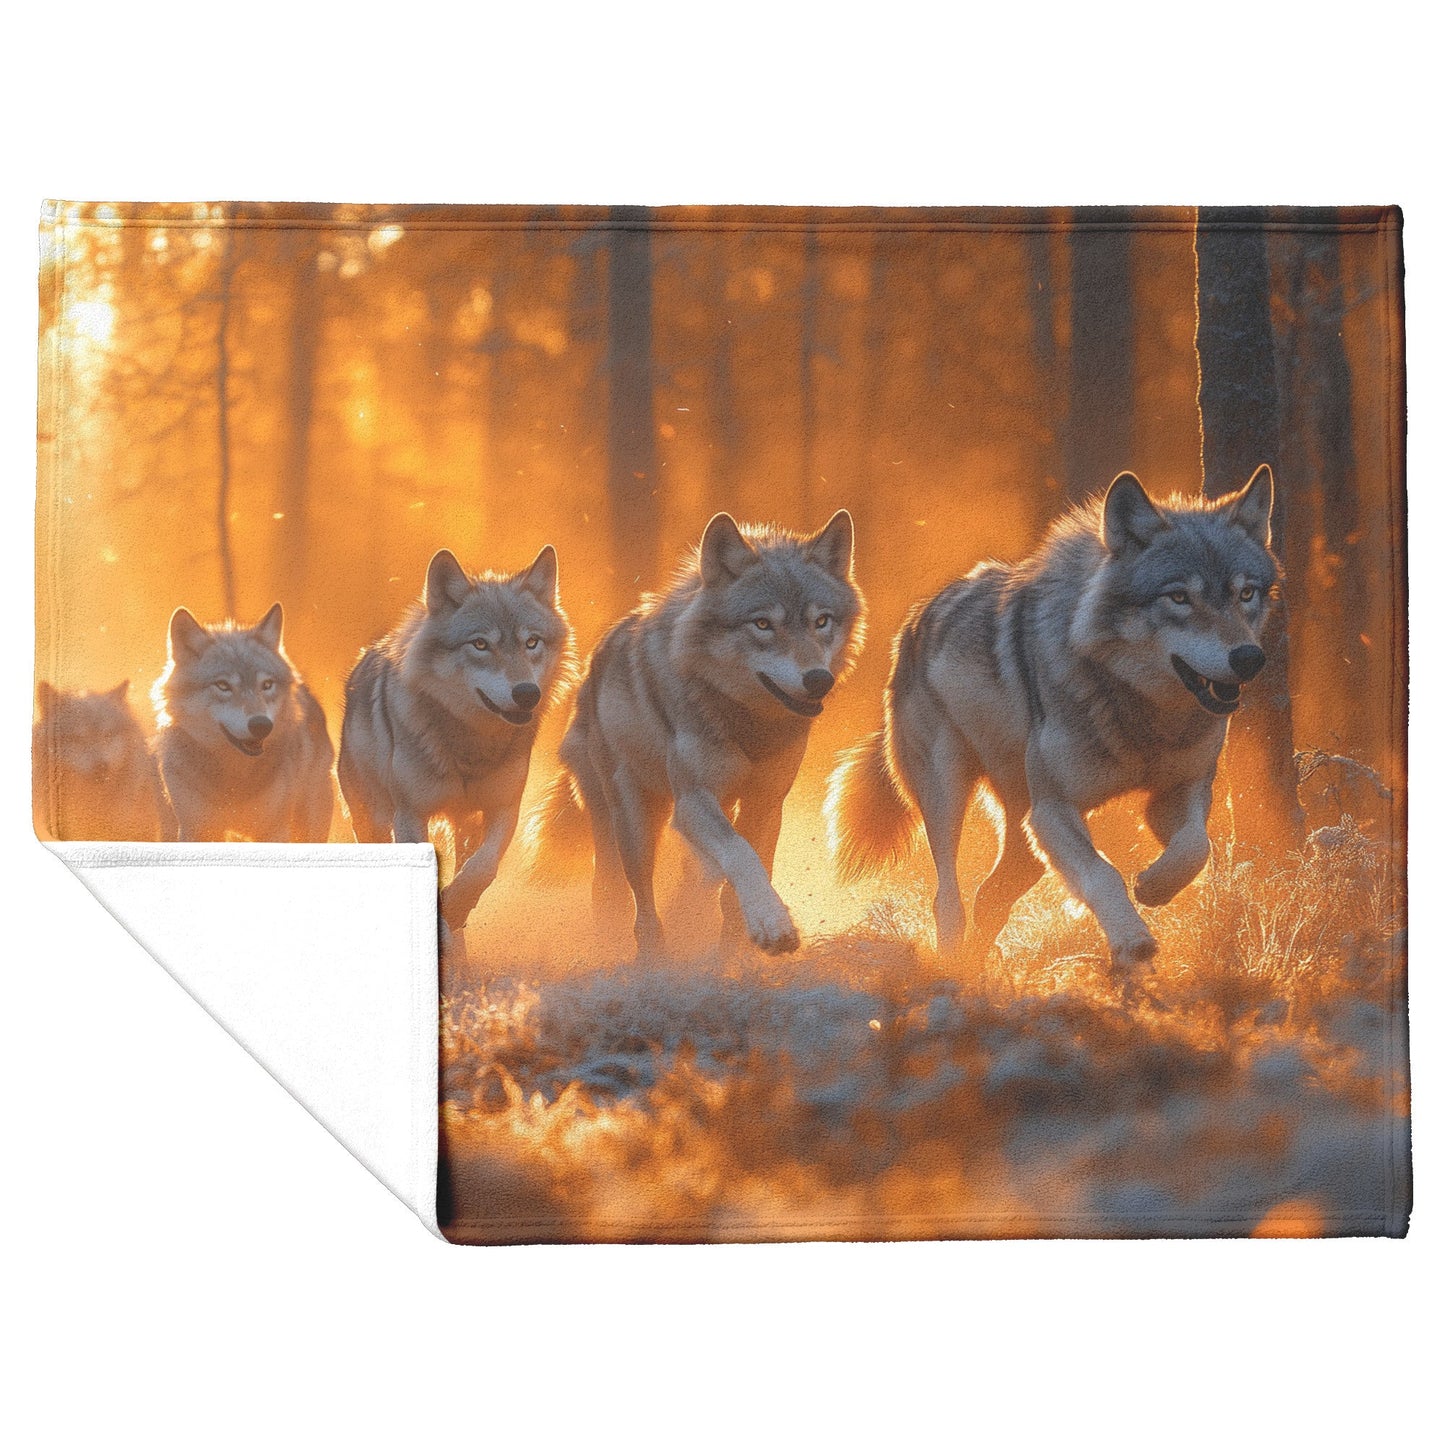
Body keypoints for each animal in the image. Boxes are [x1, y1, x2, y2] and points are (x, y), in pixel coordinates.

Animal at [153, 603, 335, 842]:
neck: (234, 778)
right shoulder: (197, 829)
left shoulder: (274, 830)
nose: (262, 725)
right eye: (223, 685)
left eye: (266, 685)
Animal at [338, 546, 572, 934]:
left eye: (531, 642)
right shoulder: (410, 815)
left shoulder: (503, 809)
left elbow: (482, 868)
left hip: (465, 824)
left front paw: (457, 907)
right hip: (372, 817)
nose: (527, 693)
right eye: (480, 644)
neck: (470, 744)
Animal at [539, 510, 865, 957]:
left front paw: (739, 947)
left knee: (688, 882)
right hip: (634, 823)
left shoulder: (766, 803)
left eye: (822, 621)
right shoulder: (693, 801)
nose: (818, 680)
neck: (747, 725)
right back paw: (644, 954)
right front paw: (773, 925)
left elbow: (743, 874)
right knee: (632, 899)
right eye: (763, 623)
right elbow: (740, 854)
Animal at [827, 466, 1279, 972]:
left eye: (1245, 593)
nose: (1248, 659)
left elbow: (1196, 848)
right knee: (948, 898)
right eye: (1179, 597)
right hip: (952, 799)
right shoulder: (1054, 810)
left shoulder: (1179, 791)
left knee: (990, 897)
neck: (1141, 713)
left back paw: (977, 968)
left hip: (1025, 842)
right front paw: (1132, 941)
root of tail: (915, 618)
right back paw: (951, 965)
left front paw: (1153, 886)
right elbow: (1102, 874)